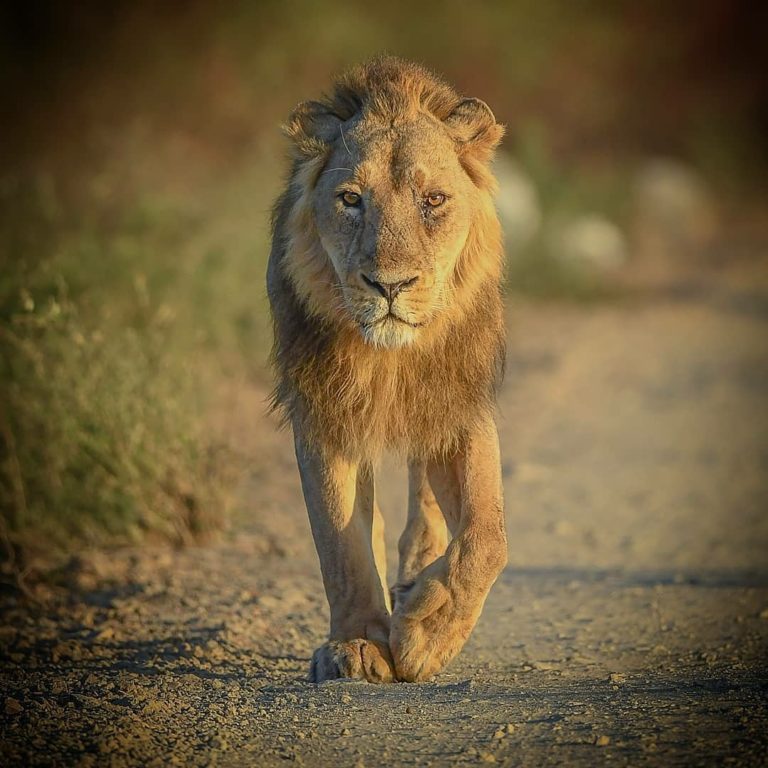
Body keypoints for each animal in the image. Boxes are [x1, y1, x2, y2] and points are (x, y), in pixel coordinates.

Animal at [267, 56, 507, 683]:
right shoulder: (325, 410)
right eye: (351, 199)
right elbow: (341, 543)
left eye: (435, 200)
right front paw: (356, 644)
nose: (390, 286)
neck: (390, 356)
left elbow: (487, 535)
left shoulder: (458, 400)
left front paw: (426, 635)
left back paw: (418, 575)